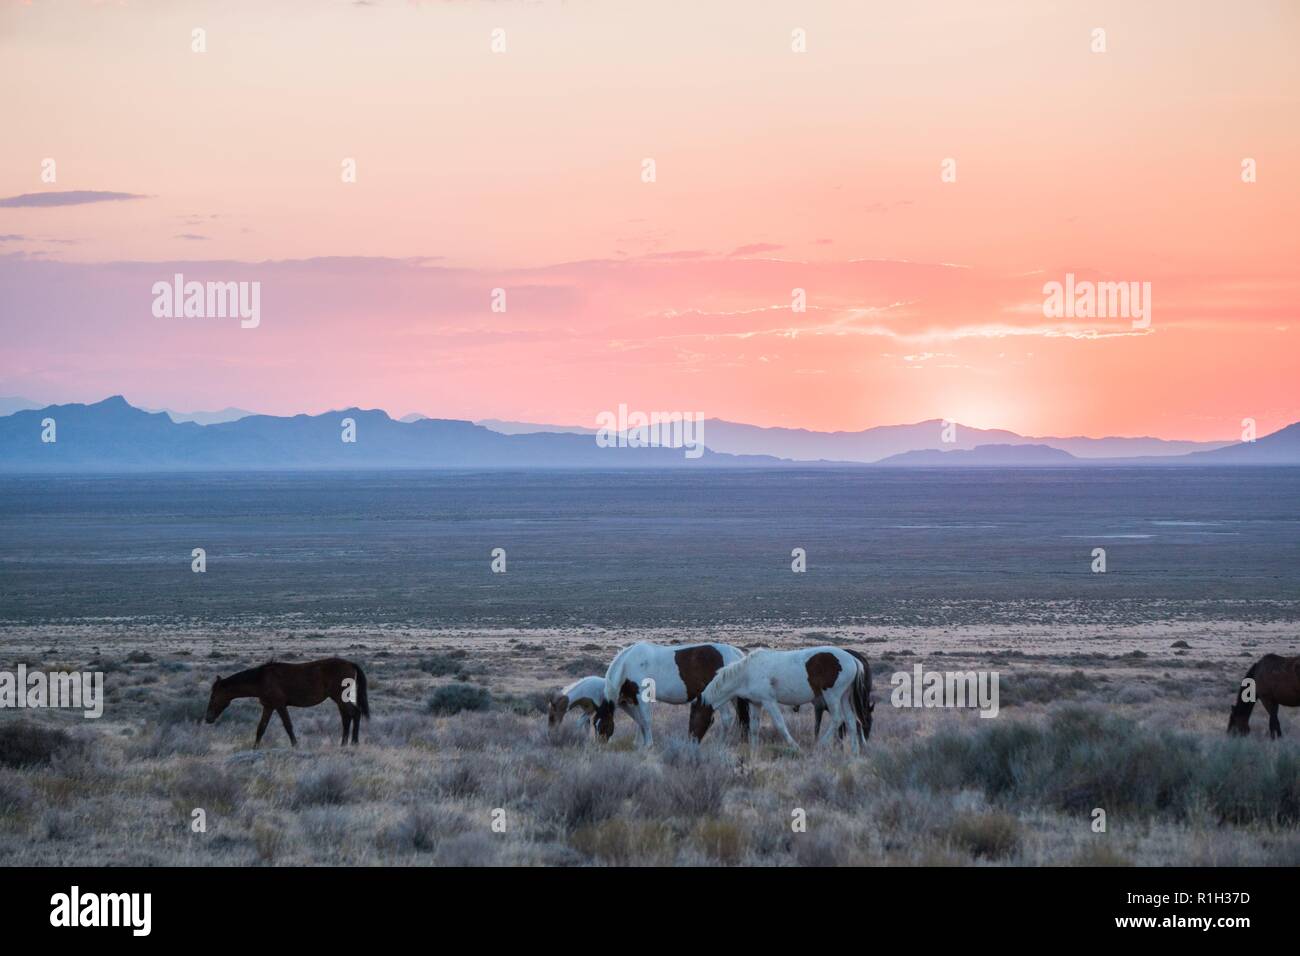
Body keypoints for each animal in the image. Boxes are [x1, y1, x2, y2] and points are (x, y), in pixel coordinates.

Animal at [205, 658, 369, 747]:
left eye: (213, 697)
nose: (208, 718)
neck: (261, 680)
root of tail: (351, 664)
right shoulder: (268, 706)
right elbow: (261, 728)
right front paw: (254, 748)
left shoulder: (279, 705)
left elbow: (288, 726)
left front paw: (295, 746)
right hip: (340, 699)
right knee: (347, 718)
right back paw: (343, 744)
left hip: (339, 698)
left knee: (355, 714)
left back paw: (354, 743)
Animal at [597, 641, 750, 746]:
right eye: (595, 725)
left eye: (604, 725)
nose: (600, 746)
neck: (627, 664)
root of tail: (735, 652)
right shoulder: (632, 700)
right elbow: (639, 720)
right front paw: (639, 743)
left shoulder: (642, 697)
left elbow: (645, 719)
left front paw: (648, 744)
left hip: (720, 695)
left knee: (727, 719)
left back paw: (721, 743)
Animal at [692, 646, 872, 753]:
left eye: (696, 717)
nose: (692, 741)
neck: (747, 673)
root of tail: (853, 659)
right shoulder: (756, 703)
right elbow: (754, 728)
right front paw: (754, 751)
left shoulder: (769, 701)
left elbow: (780, 725)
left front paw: (796, 747)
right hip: (844, 697)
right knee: (851, 721)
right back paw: (854, 753)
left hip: (832, 696)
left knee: (837, 719)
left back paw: (819, 745)